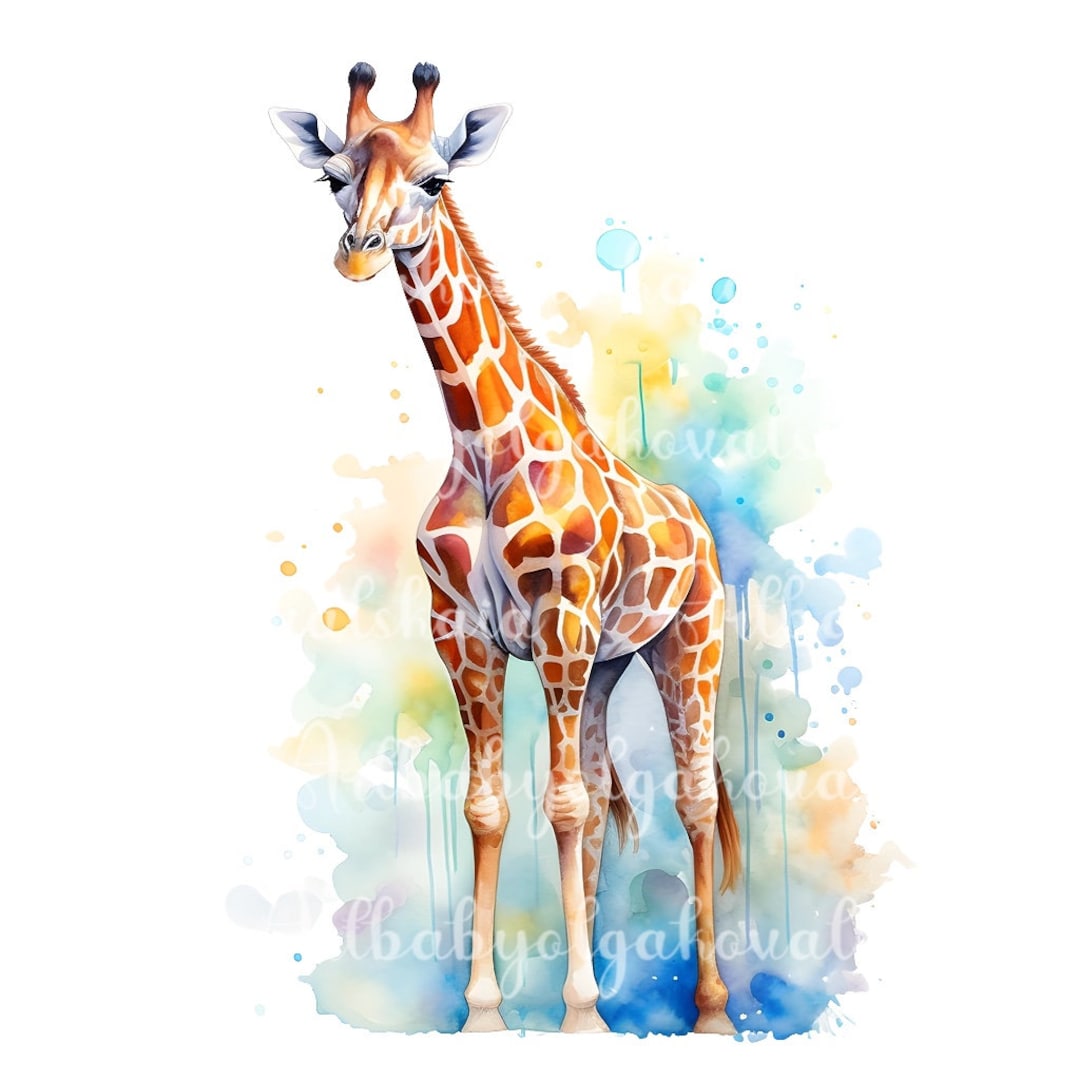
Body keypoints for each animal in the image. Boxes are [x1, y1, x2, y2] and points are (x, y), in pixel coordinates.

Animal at [271, 62, 741, 1035]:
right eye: (332, 177)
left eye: (435, 179)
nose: (359, 252)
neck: (484, 445)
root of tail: (697, 519)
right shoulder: (465, 636)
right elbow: (491, 808)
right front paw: (487, 1010)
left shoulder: (558, 622)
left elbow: (558, 803)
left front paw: (579, 1013)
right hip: (606, 662)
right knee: (602, 800)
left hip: (689, 642)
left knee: (694, 798)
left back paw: (710, 1008)